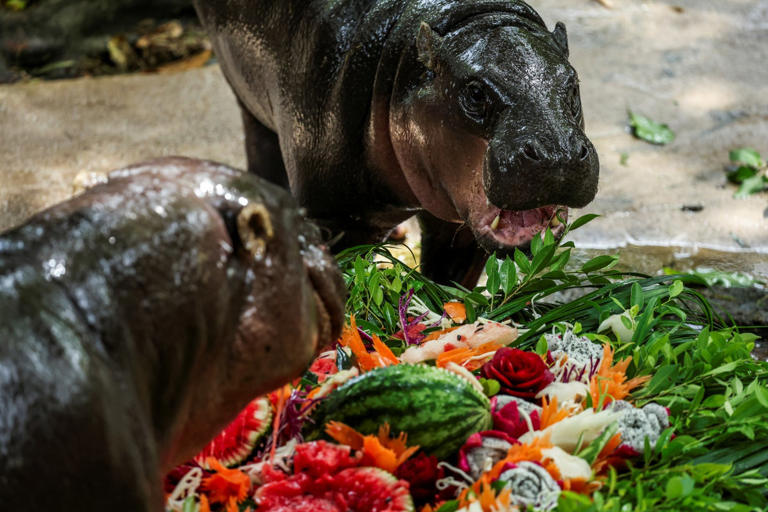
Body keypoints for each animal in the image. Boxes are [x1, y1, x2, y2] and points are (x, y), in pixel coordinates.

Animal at [194, 0, 599, 285]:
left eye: (572, 84)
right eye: (475, 93)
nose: (556, 153)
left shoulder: (458, 226)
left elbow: (448, 285)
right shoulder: (335, 219)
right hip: (245, 95)